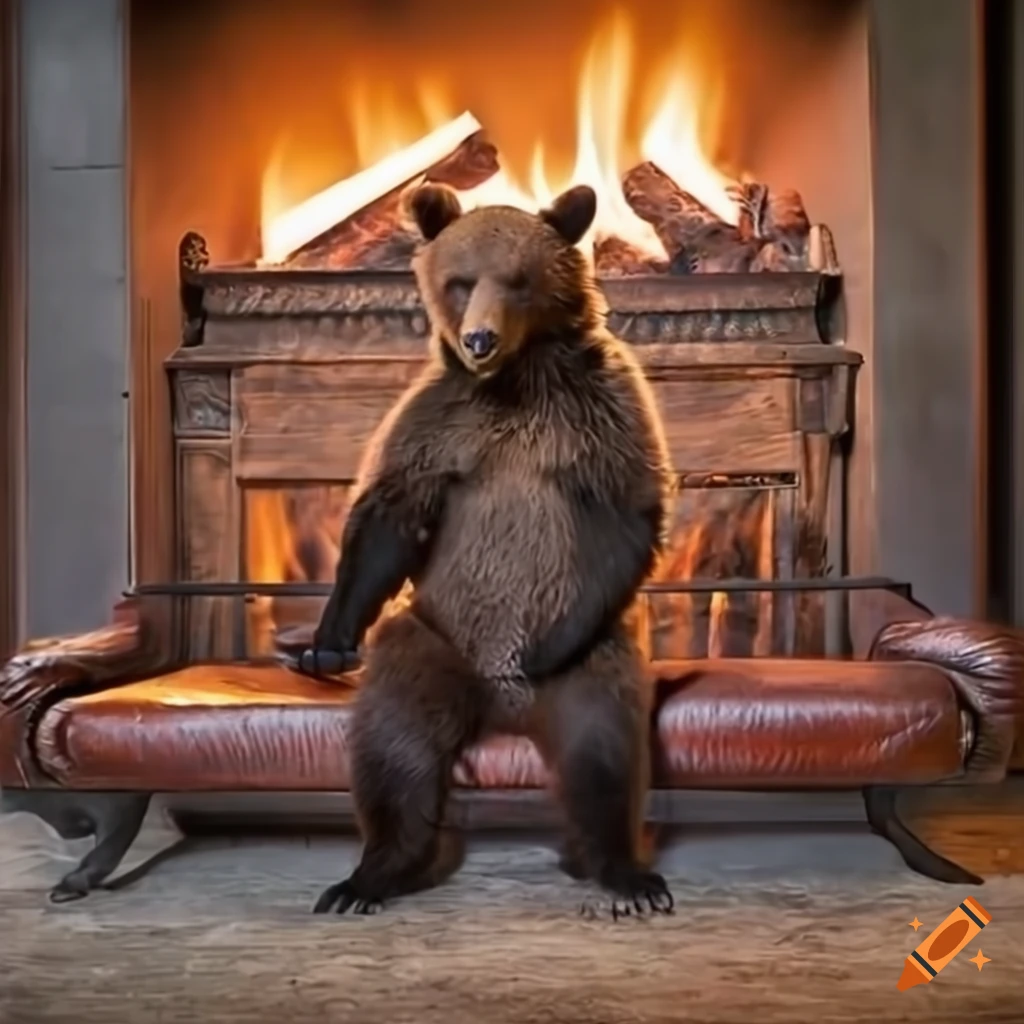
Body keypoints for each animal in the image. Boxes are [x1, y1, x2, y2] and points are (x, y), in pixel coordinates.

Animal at [299, 181, 675, 919]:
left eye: (519, 280)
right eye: (460, 280)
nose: (479, 339)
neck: (517, 382)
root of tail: (503, 705)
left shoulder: (601, 412)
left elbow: (628, 512)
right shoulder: (437, 423)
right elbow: (389, 514)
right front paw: (327, 642)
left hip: (596, 657)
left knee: (603, 747)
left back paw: (624, 871)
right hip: (435, 637)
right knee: (396, 736)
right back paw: (372, 873)